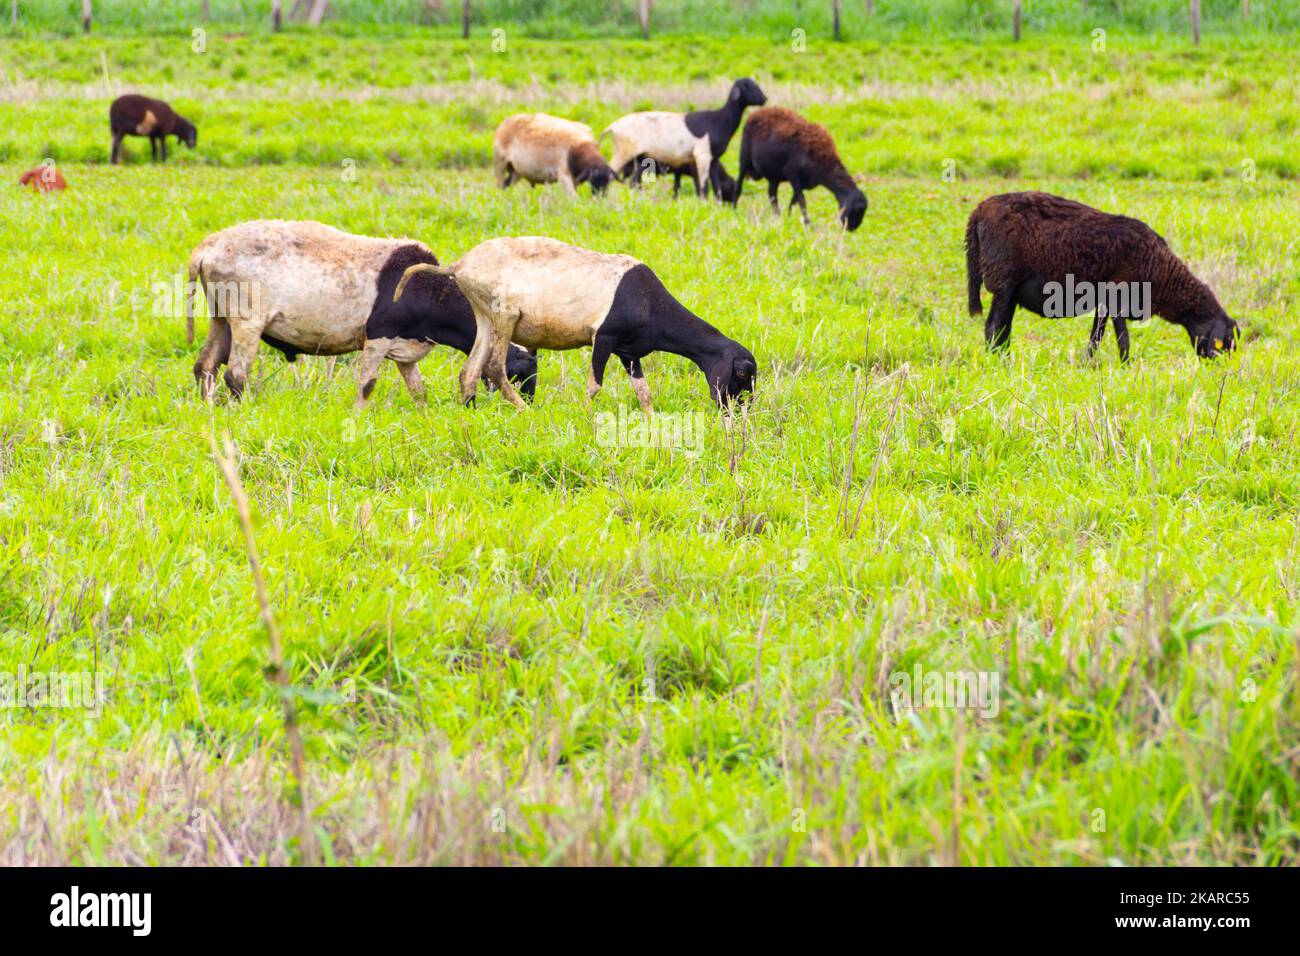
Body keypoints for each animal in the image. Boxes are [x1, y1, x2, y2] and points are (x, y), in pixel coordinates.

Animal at [185, 220, 538, 405]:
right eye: (522, 372)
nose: (529, 402)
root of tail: (207, 248)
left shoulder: (404, 349)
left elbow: (418, 391)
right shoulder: (378, 336)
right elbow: (367, 384)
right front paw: (359, 416)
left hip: (220, 317)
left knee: (205, 367)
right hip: (247, 321)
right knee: (236, 374)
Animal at [393, 237, 757, 411]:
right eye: (742, 373)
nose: (737, 411)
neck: (646, 299)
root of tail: (460, 265)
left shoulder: (630, 353)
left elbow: (644, 394)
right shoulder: (604, 338)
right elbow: (594, 386)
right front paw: (584, 418)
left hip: (485, 317)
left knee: (469, 370)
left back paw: (470, 411)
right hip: (505, 315)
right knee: (495, 367)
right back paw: (524, 410)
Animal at [601, 78, 766, 199]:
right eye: (748, 87)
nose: (764, 99)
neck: (718, 121)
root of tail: (613, 126)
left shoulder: (712, 160)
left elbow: (715, 186)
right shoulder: (701, 156)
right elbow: (703, 187)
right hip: (623, 153)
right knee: (610, 174)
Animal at [736, 106, 867, 231]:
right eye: (856, 211)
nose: (851, 229)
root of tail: (755, 113)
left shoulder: (804, 183)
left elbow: (793, 200)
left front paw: (789, 218)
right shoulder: (792, 173)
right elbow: (801, 200)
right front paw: (808, 224)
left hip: (774, 176)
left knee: (772, 195)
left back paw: (777, 216)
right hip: (744, 158)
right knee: (739, 183)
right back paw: (734, 208)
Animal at [965, 192, 1240, 361]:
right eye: (1226, 343)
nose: (1220, 373)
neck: (1162, 273)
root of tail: (977, 212)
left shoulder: (1104, 302)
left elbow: (1095, 338)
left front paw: (1088, 365)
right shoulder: (1119, 296)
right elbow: (1123, 340)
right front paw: (1127, 367)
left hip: (1009, 291)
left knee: (1002, 330)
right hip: (1004, 282)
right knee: (993, 328)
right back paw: (1000, 364)